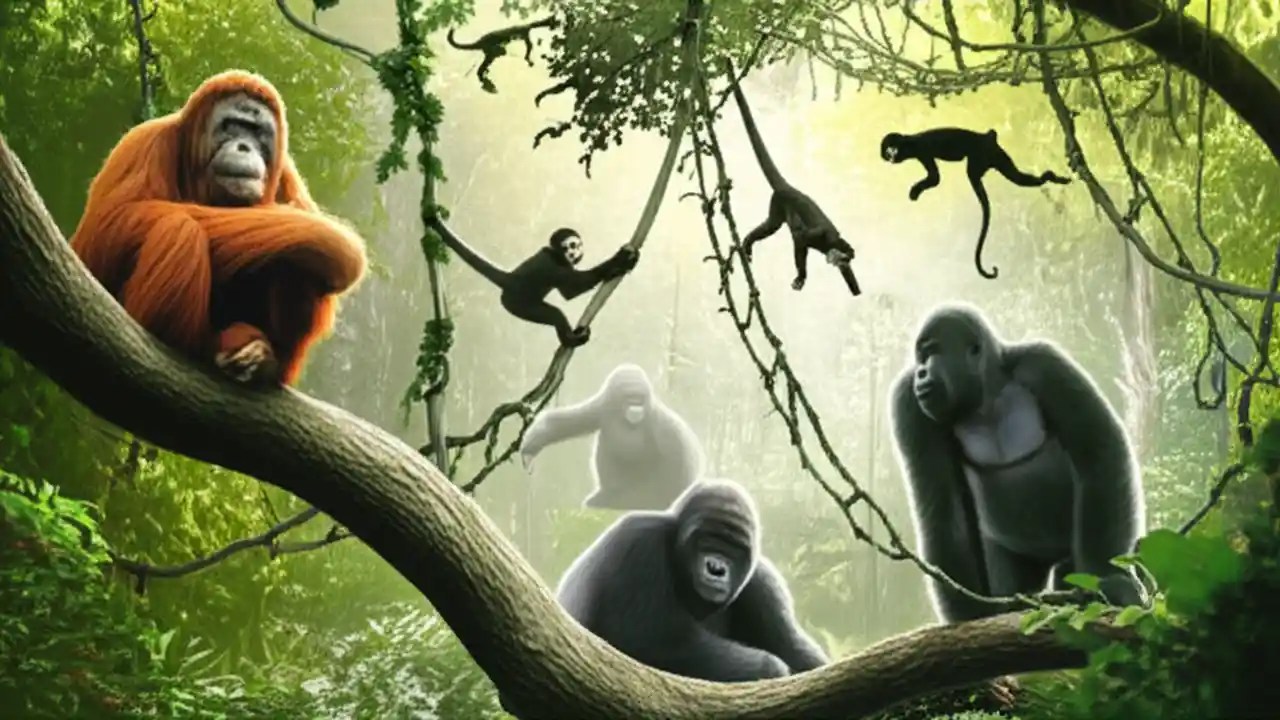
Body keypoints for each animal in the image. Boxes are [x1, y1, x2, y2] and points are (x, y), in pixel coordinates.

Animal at [427, 218, 637, 347]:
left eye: (573, 245)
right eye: (566, 248)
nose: (572, 253)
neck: (556, 254)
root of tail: (510, 278)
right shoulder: (554, 264)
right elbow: (570, 292)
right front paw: (619, 260)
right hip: (516, 304)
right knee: (554, 314)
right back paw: (568, 340)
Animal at [726, 62, 862, 297]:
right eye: (844, 257)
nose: (840, 261)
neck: (833, 243)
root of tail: (789, 187)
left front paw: (856, 290)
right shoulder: (821, 236)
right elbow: (800, 237)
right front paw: (801, 276)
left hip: (776, 205)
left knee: (771, 225)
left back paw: (748, 241)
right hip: (780, 200)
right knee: (776, 227)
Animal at [880, 128, 1072, 280]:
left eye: (892, 150)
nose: (891, 156)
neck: (910, 140)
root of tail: (988, 138)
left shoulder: (922, 150)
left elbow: (935, 178)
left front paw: (915, 192)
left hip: (981, 154)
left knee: (973, 175)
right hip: (998, 155)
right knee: (1017, 178)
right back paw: (1052, 177)